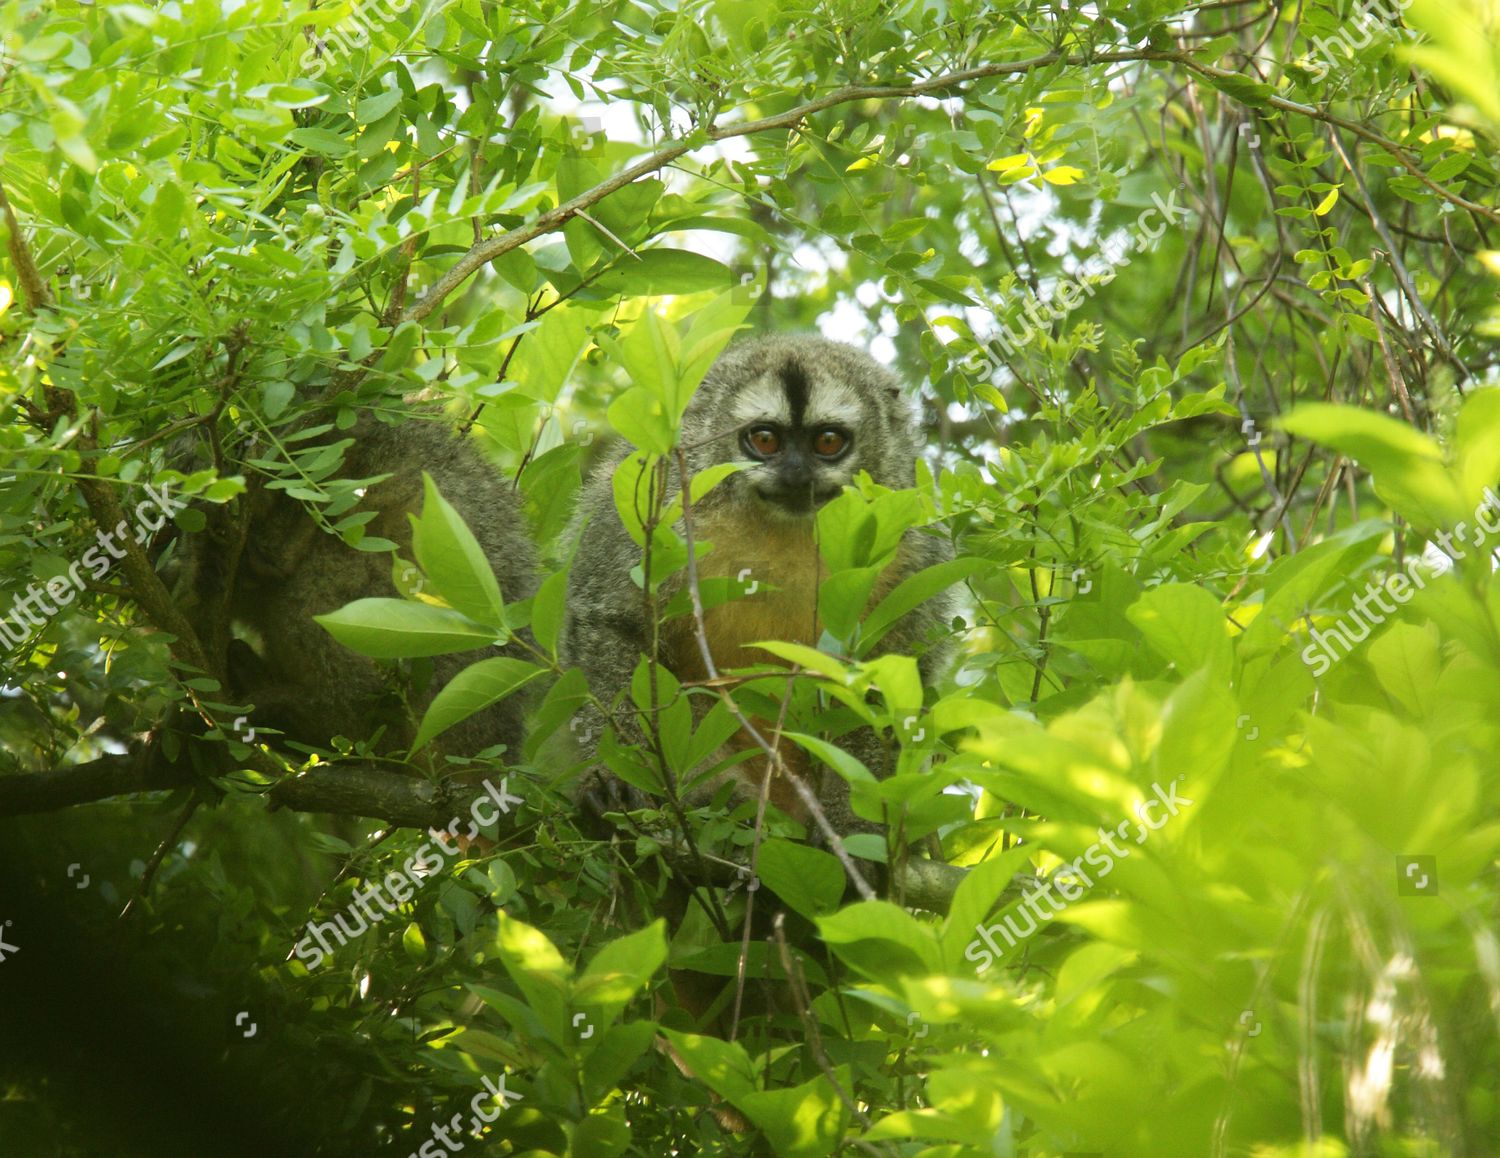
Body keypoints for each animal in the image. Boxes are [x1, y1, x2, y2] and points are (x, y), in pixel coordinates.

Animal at [559, 334, 956, 845]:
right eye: (765, 439)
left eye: (828, 442)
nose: (796, 476)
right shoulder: (652, 501)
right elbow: (613, 621)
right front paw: (616, 778)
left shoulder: (912, 539)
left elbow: (889, 673)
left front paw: (855, 825)